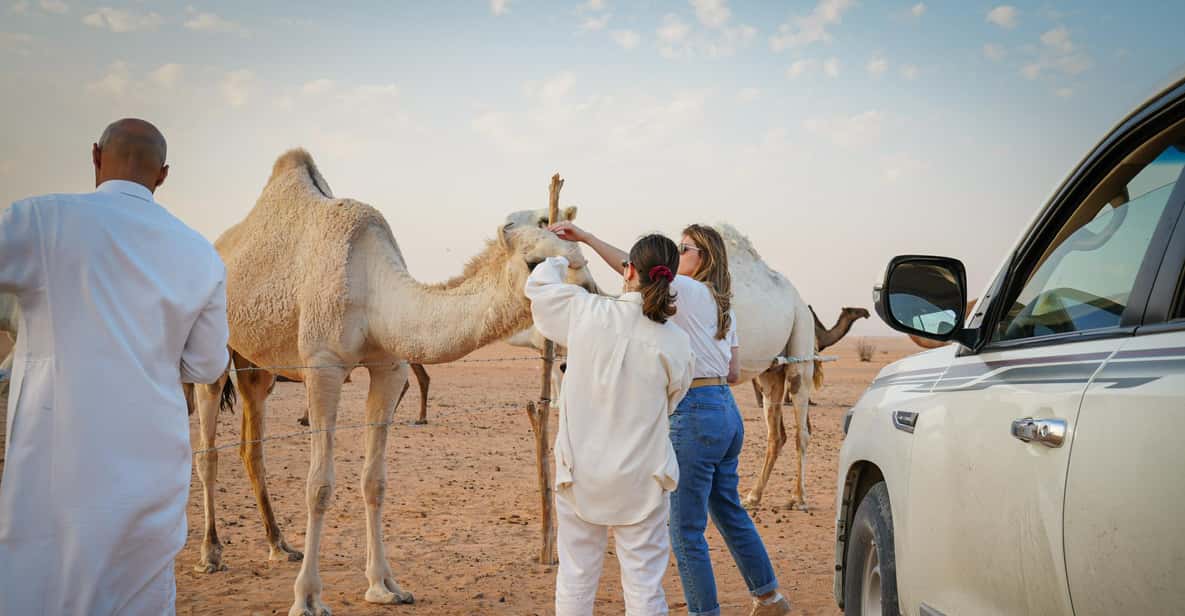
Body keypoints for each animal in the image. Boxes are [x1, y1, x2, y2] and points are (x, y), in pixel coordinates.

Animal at [188, 149, 594, 616]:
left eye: (581, 256)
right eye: (535, 262)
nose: (593, 288)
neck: (373, 289)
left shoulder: (389, 367)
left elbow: (375, 481)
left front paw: (384, 585)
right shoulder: (323, 366)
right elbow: (319, 484)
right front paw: (307, 597)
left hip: (258, 367)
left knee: (251, 449)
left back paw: (279, 545)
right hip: (215, 352)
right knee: (207, 452)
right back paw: (210, 553)